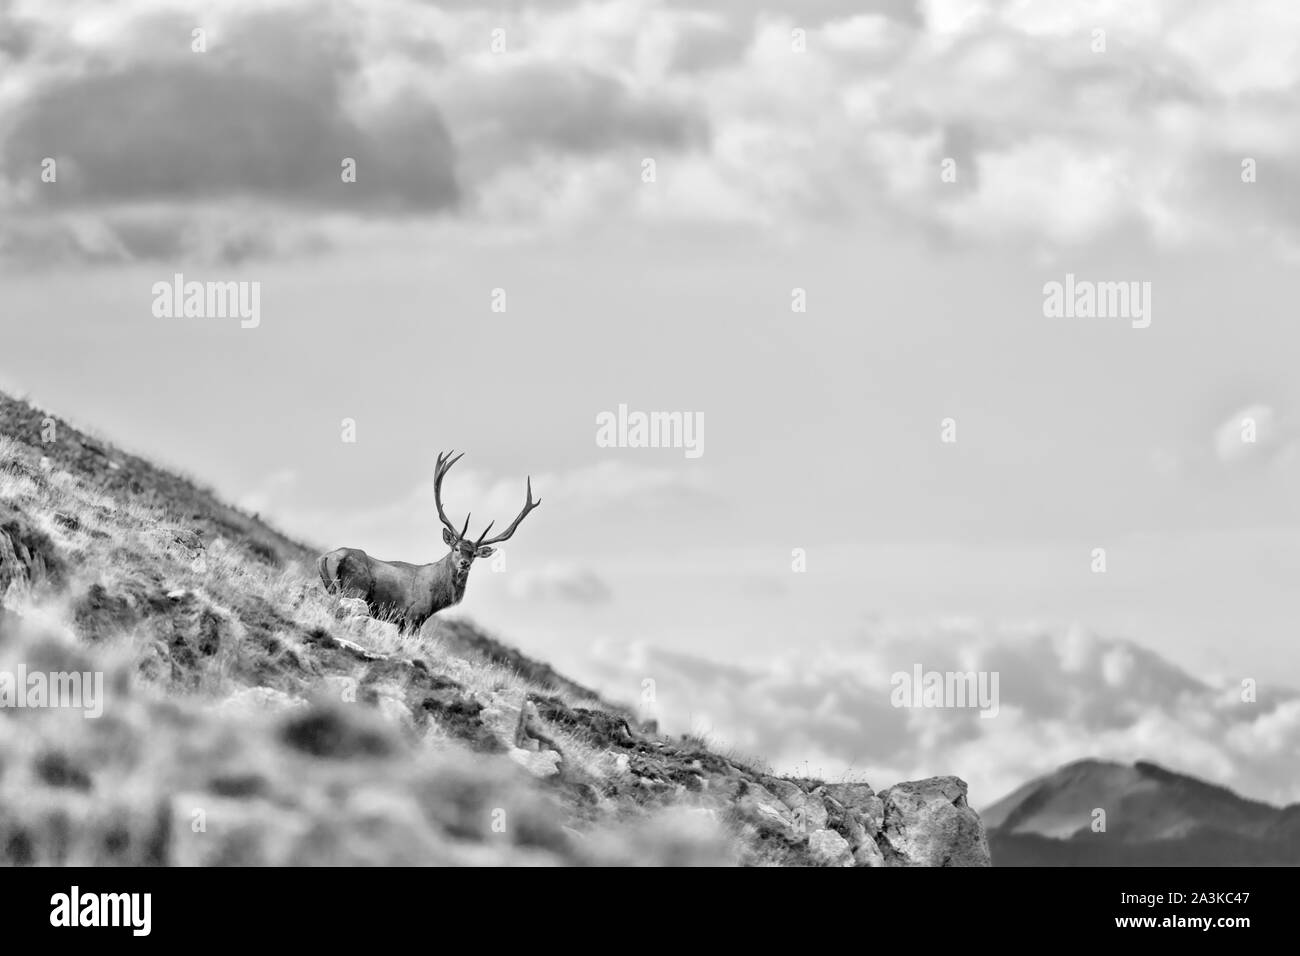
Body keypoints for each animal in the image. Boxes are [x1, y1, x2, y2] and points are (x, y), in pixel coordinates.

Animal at [317, 450, 541, 632]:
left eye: (474, 554)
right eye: (456, 548)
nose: (465, 563)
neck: (436, 598)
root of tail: (328, 557)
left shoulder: (405, 621)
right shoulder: (413, 615)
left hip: (333, 588)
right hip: (355, 589)